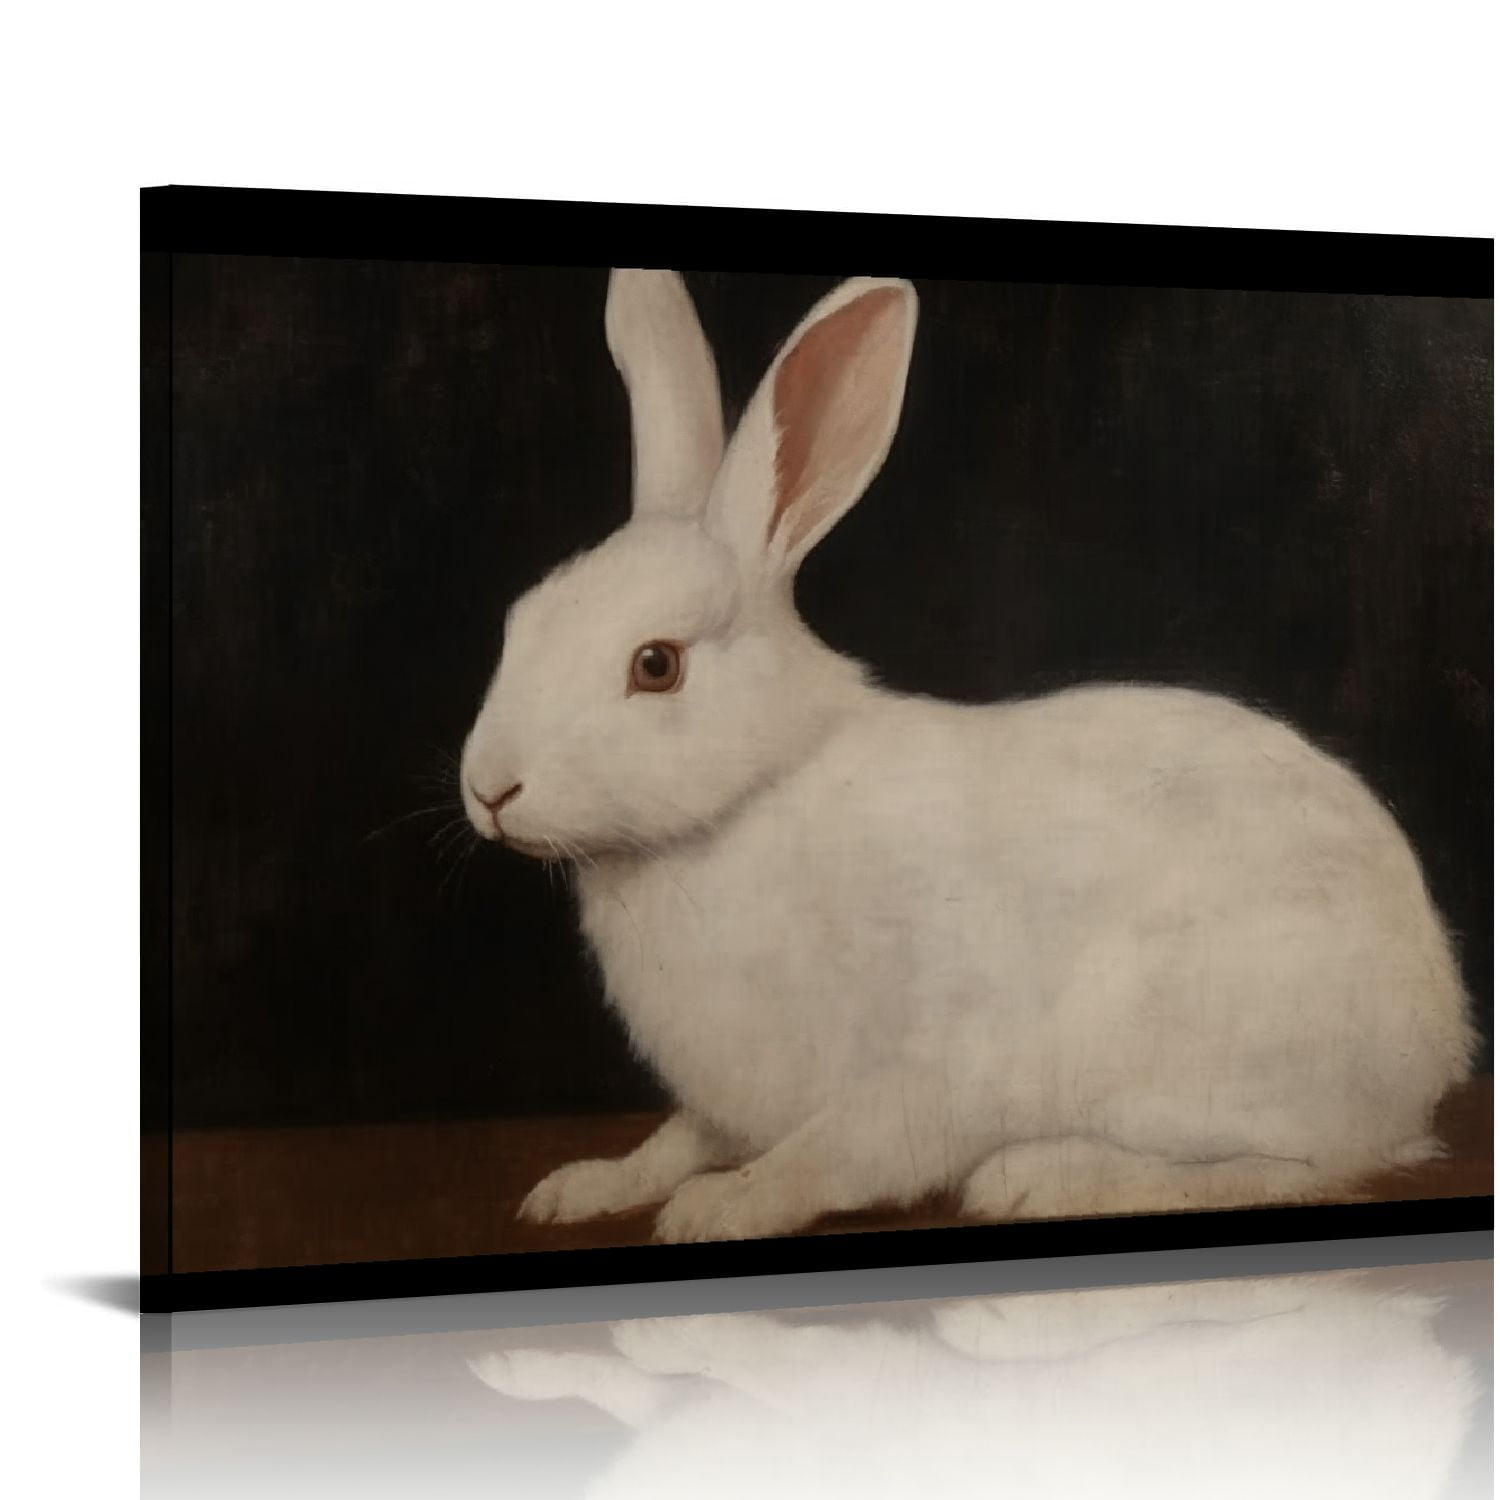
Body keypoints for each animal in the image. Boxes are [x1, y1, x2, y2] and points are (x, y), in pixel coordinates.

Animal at [459, 268, 1477, 1245]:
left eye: (656, 666)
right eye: (519, 620)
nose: (489, 789)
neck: (748, 798)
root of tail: (1440, 1037)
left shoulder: (919, 1078)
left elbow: (830, 1154)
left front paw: (722, 1208)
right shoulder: (723, 1100)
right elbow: (676, 1140)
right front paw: (581, 1187)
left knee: (1298, 1170)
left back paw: (1037, 1179)